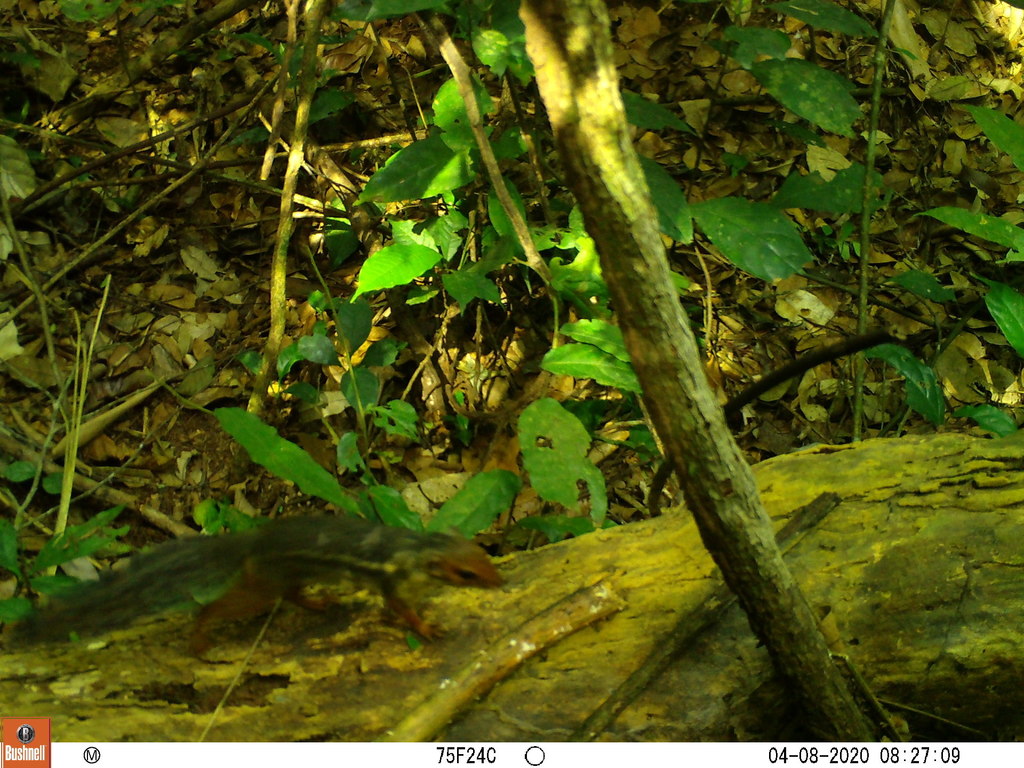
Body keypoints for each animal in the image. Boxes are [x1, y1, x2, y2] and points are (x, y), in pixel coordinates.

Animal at [9, 516, 502, 654]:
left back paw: (320, 603)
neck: (418, 550)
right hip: (259, 589)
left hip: (288, 577)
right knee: (213, 607)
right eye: (467, 574)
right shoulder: (394, 583)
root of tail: (252, 540)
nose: (501, 581)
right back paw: (199, 637)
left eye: (483, 554)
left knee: (293, 594)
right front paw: (426, 628)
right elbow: (402, 610)